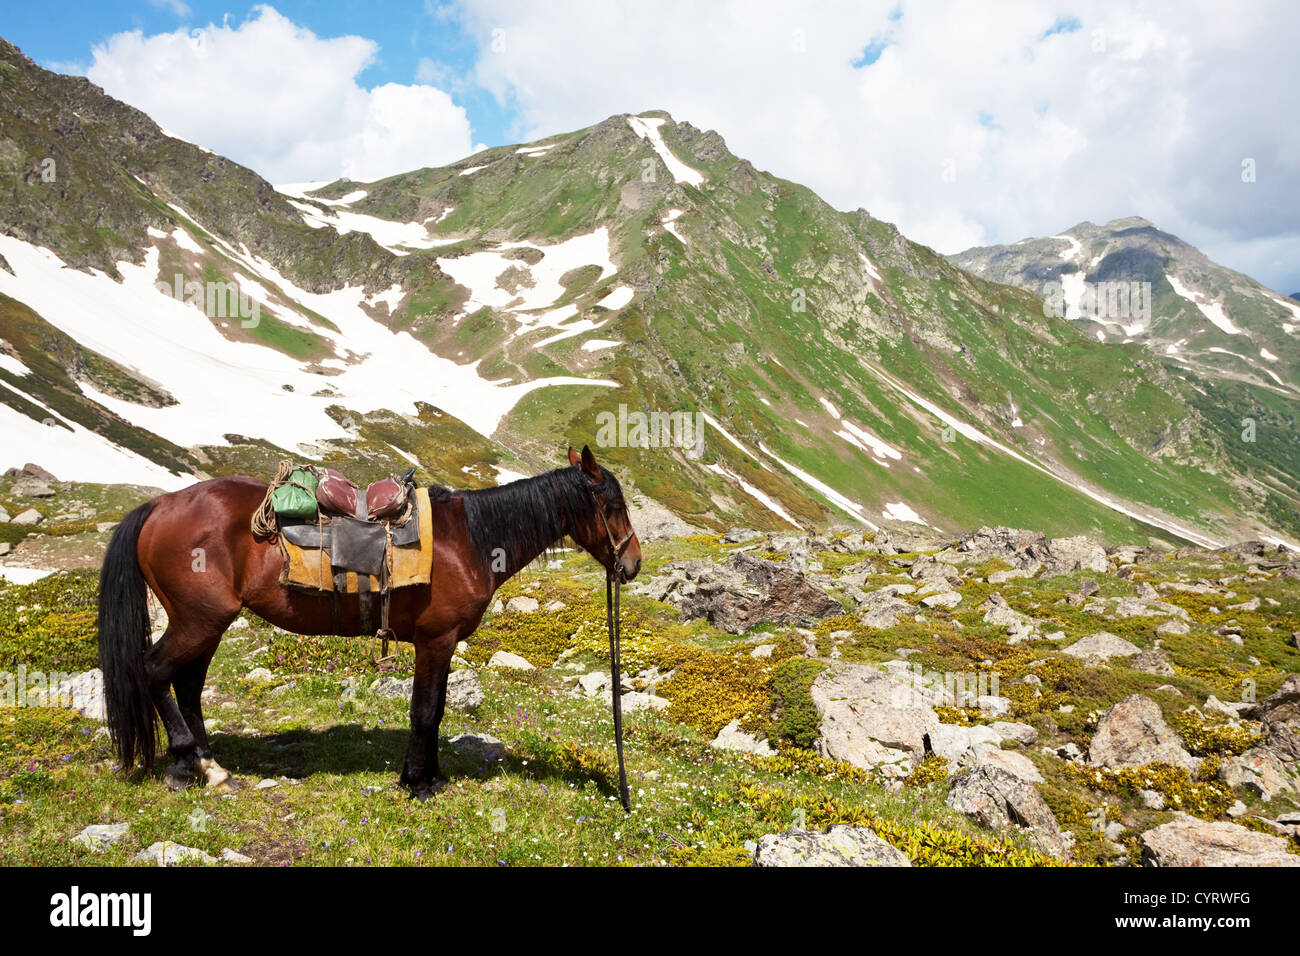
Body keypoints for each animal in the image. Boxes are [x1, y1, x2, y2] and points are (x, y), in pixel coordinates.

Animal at [96, 445, 642, 800]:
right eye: (614, 506)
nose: (632, 564)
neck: (473, 539)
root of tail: (157, 506)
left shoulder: (439, 644)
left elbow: (436, 710)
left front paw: (429, 775)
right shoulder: (436, 640)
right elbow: (426, 711)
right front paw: (418, 783)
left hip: (207, 623)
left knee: (187, 685)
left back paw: (212, 768)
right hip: (197, 620)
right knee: (155, 672)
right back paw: (185, 763)